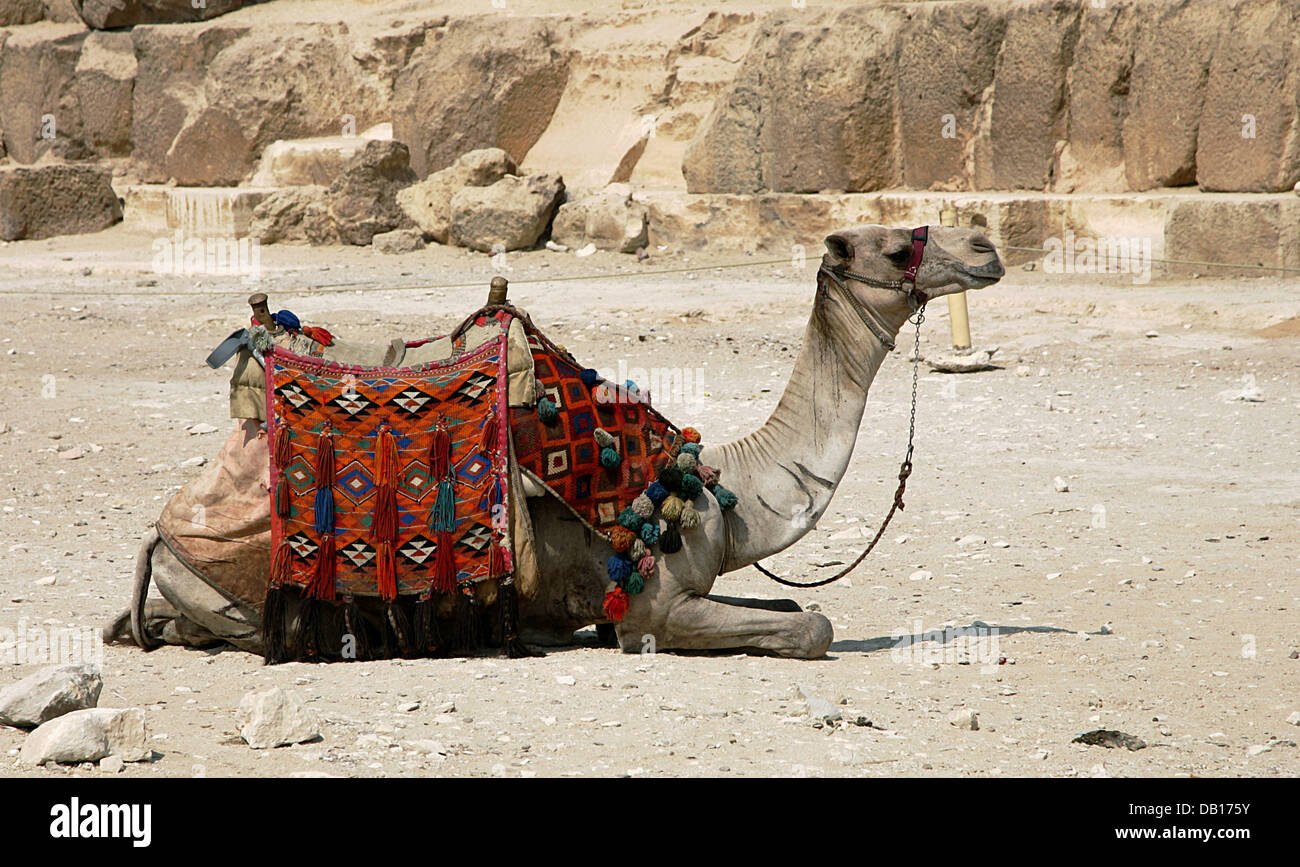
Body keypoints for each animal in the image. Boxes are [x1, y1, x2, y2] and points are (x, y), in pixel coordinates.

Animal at [106, 224, 1004, 660]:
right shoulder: (652, 606)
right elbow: (809, 625)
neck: (723, 486)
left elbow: (786, 604)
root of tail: (163, 527)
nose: (988, 244)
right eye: (897, 246)